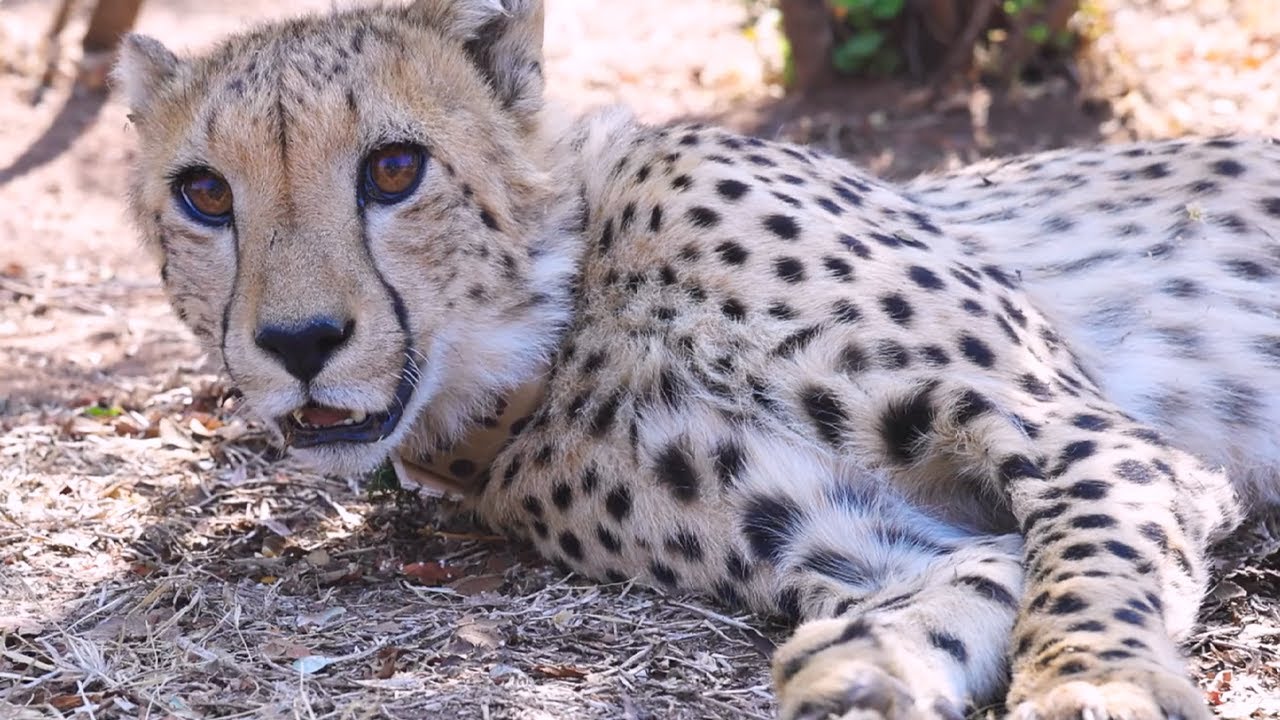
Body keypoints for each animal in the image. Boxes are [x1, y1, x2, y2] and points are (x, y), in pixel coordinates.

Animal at [113, 1, 1280, 717]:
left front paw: (1096, 684)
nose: (299, 343)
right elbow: (986, 571)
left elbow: (1087, 561)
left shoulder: (1092, 436)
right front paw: (869, 663)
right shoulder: (849, 537)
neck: (573, 319)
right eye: (204, 195)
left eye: (395, 169)